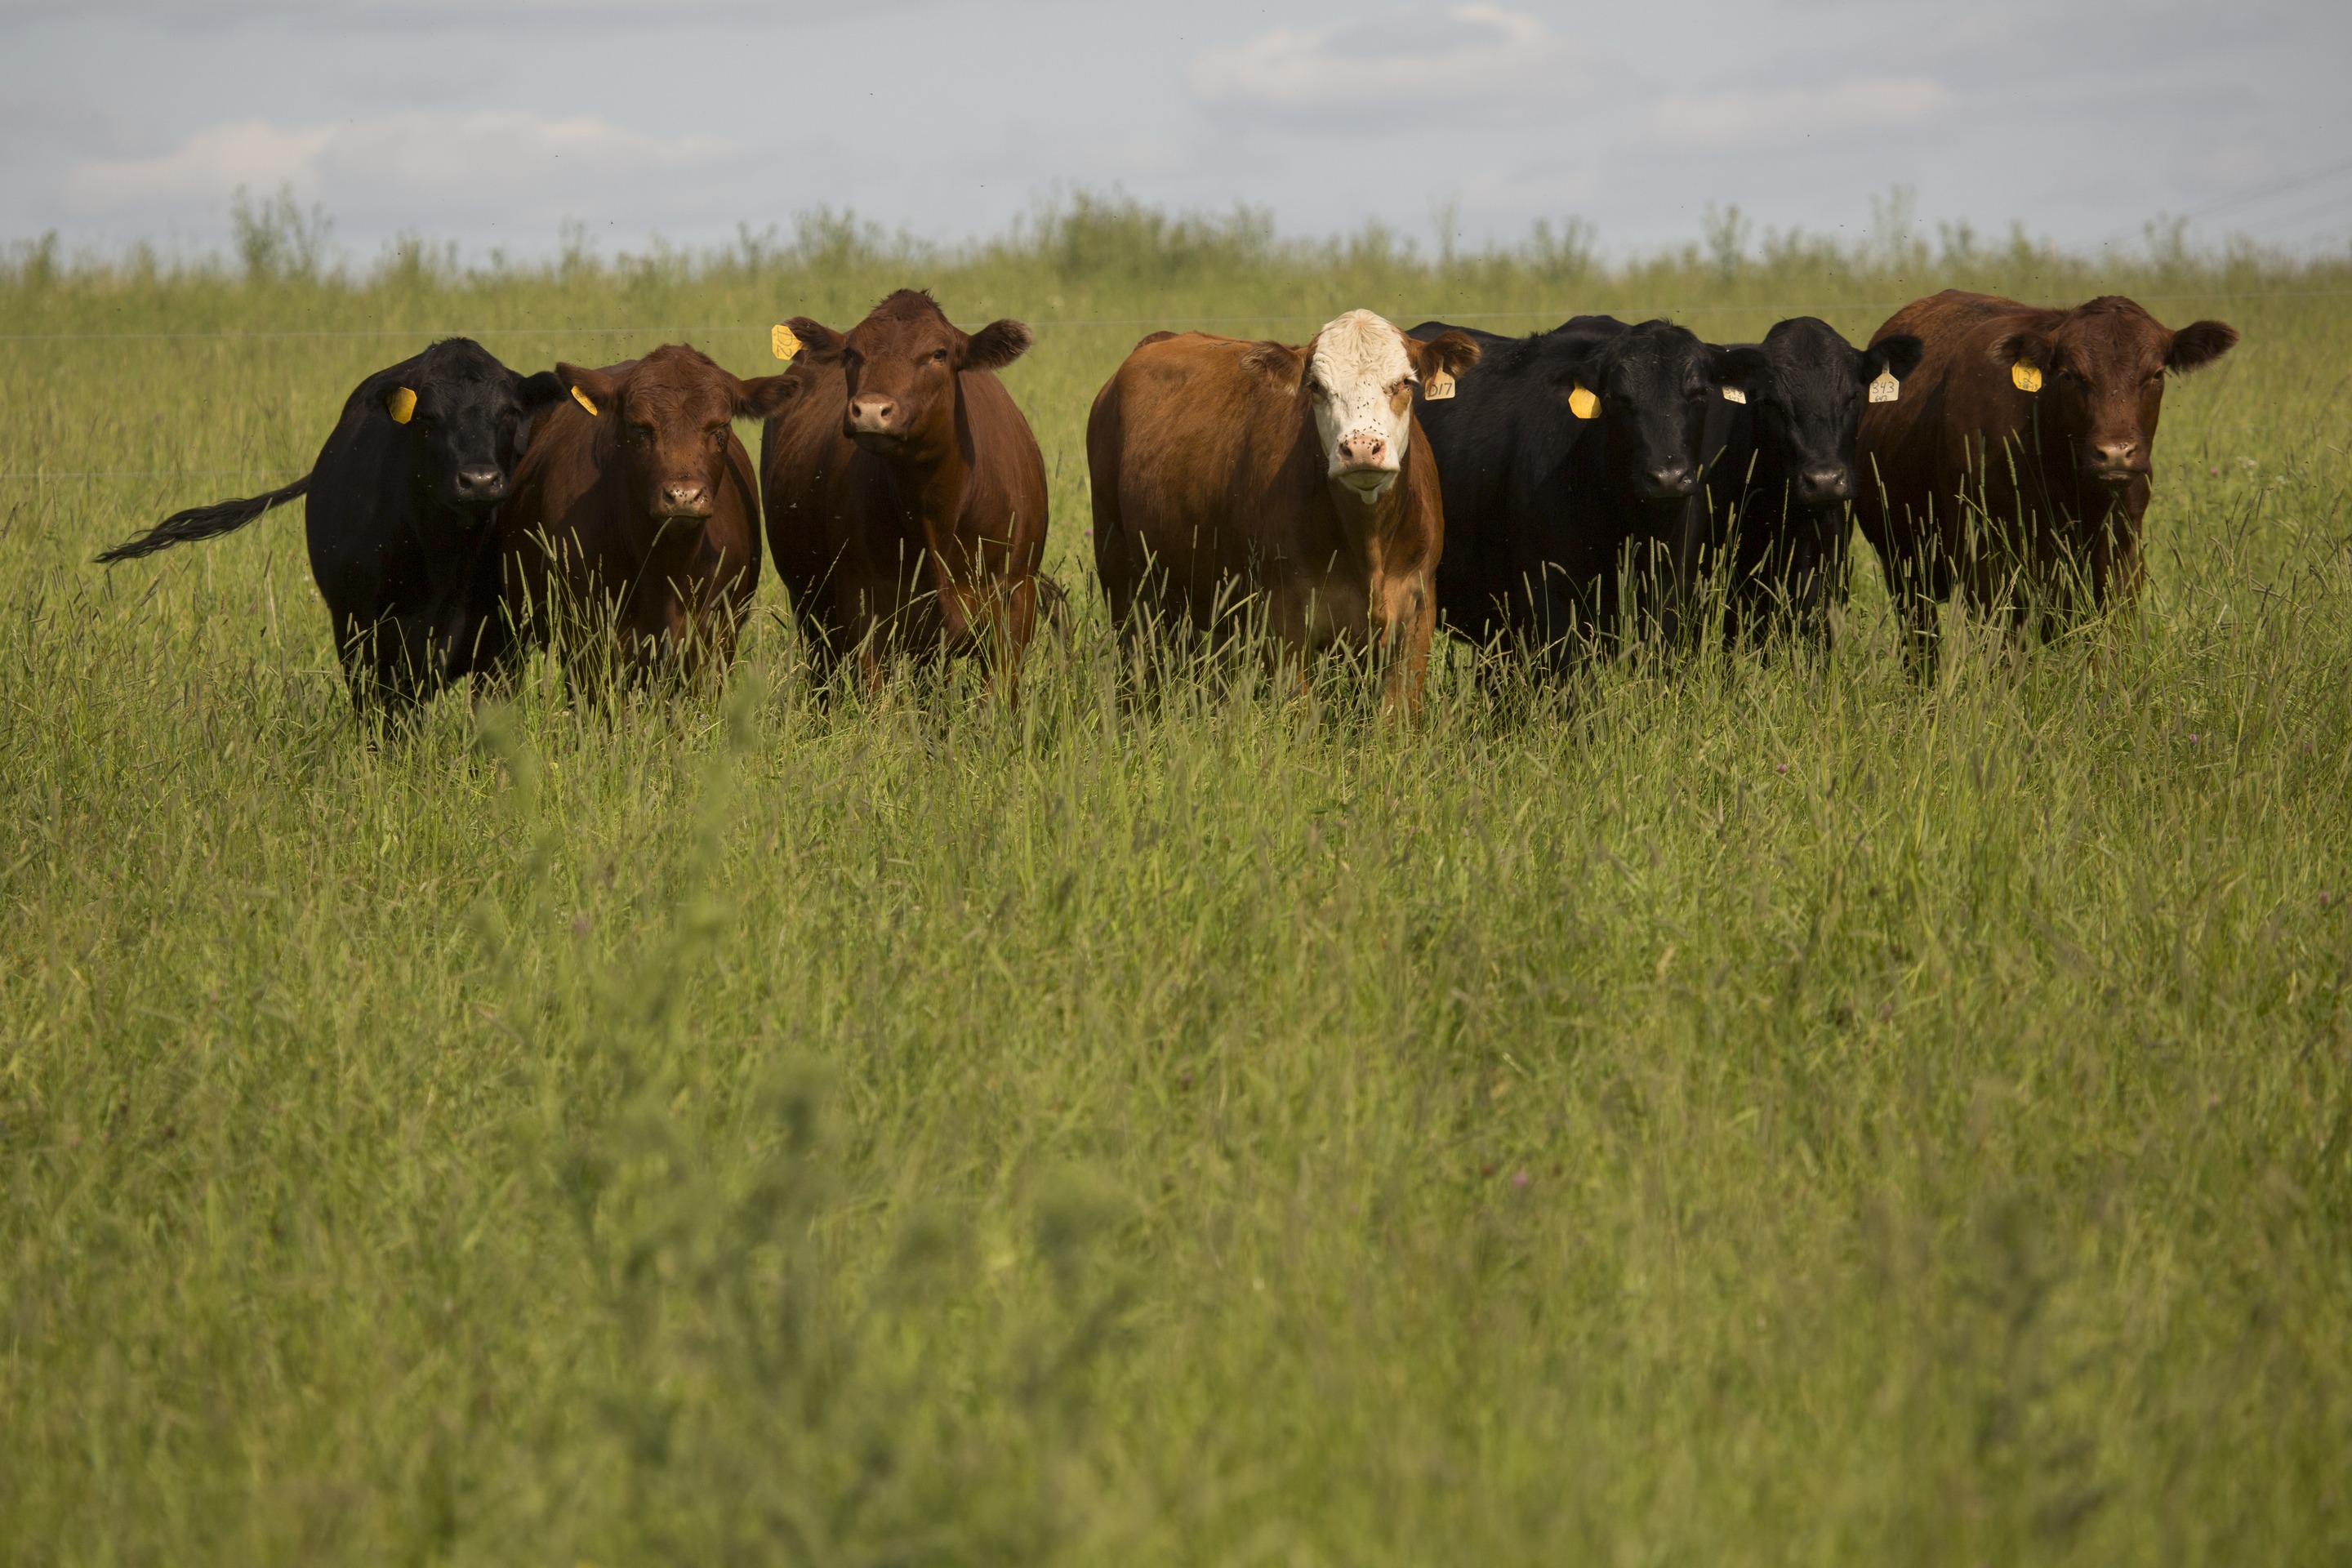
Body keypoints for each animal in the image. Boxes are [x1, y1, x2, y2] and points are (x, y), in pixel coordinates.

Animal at [95, 337, 566, 715]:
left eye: (509, 413)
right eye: (427, 418)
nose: (479, 480)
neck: (444, 558)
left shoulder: (501, 650)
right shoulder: (367, 642)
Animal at [498, 343, 791, 688]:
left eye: (720, 430)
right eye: (639, 430)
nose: (684, 496)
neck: (665, 567)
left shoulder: (714, 645)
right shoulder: (587, 645)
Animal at [760, 289, 1049, 703]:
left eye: (939, 353)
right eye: (851, 352)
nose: (869, 410)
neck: (935, 513)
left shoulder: (1016, 600)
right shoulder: (861, 605)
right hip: (810, 605)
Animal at [1088, 311, 1480, 714]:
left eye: (1404, 382)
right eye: (1316, 387)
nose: (1361, 447)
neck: (1367, 544)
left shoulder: (1418, 612)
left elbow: (1396, 712)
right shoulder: (1284, 620)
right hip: (1120, 574)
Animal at [1854, 289, 2238, 672]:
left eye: (2157, 374)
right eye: (2069, 375)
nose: (2115, 453)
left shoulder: (2121, 552)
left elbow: (2108, 643)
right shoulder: (1988, 560)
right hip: (1904, 564)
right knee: (1922, 644)